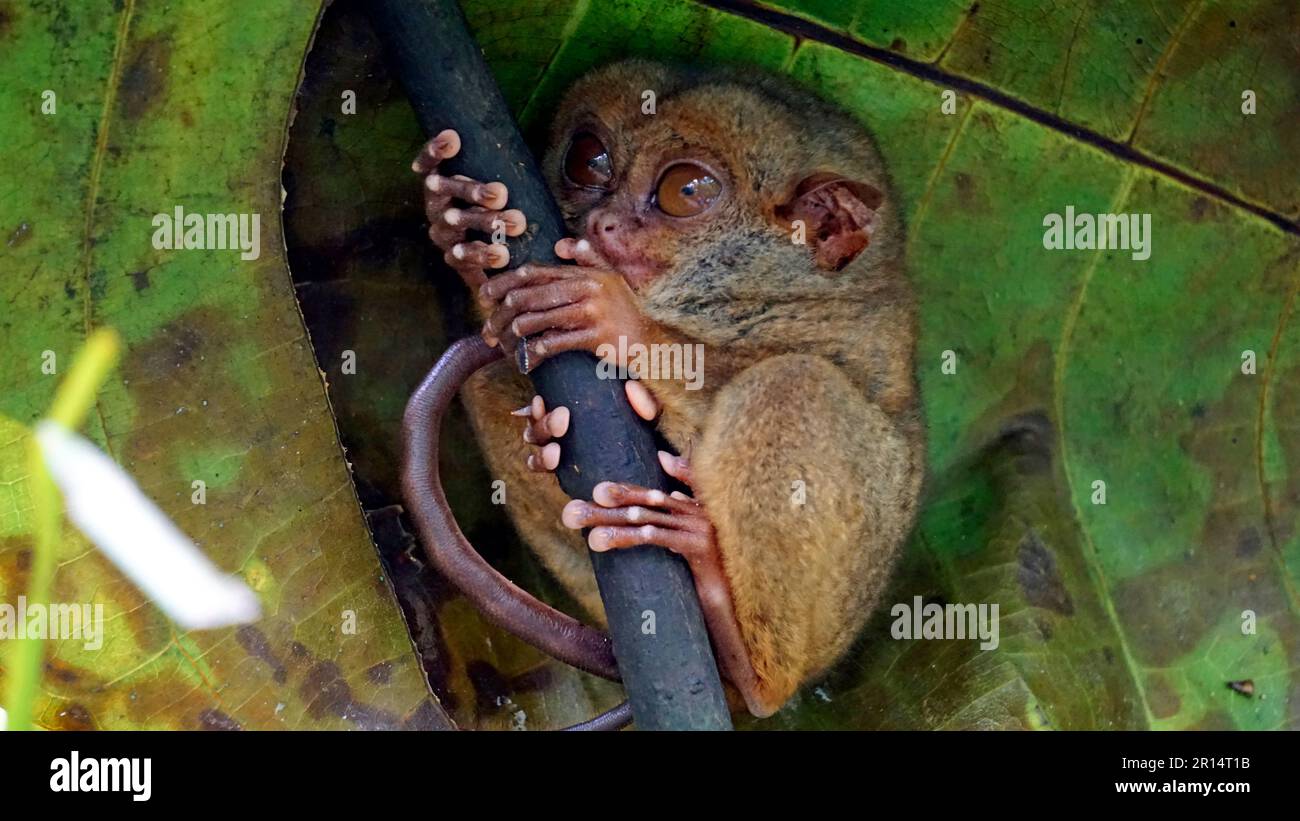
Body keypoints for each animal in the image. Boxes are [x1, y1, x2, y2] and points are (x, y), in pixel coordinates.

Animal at [408, 59, 925, 718]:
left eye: (686, 192)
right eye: (589, 160)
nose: (600, 222)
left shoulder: (841, 329)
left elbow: (736, 371)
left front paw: (615, 318)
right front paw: (461, 226)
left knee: (792, 385)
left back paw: (745, 654)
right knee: (485, 377)